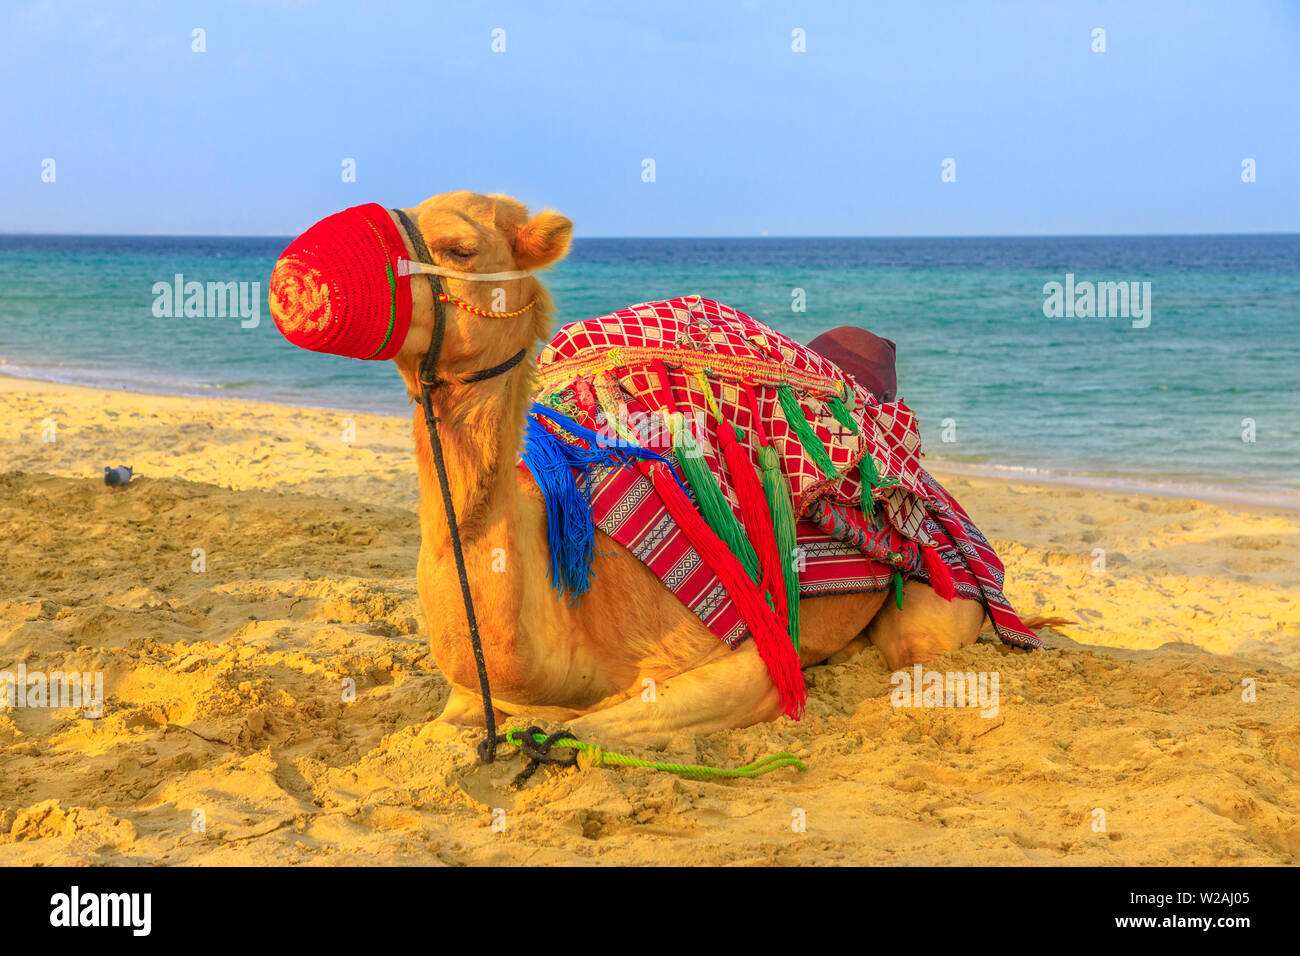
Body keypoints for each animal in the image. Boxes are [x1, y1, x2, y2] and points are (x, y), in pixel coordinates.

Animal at [272, 191, 1008, 747]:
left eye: (459, 249)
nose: (299, 280)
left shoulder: (745, 655)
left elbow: (582, 729)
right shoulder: (462, 695)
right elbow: (445, 726)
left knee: (917, 643)